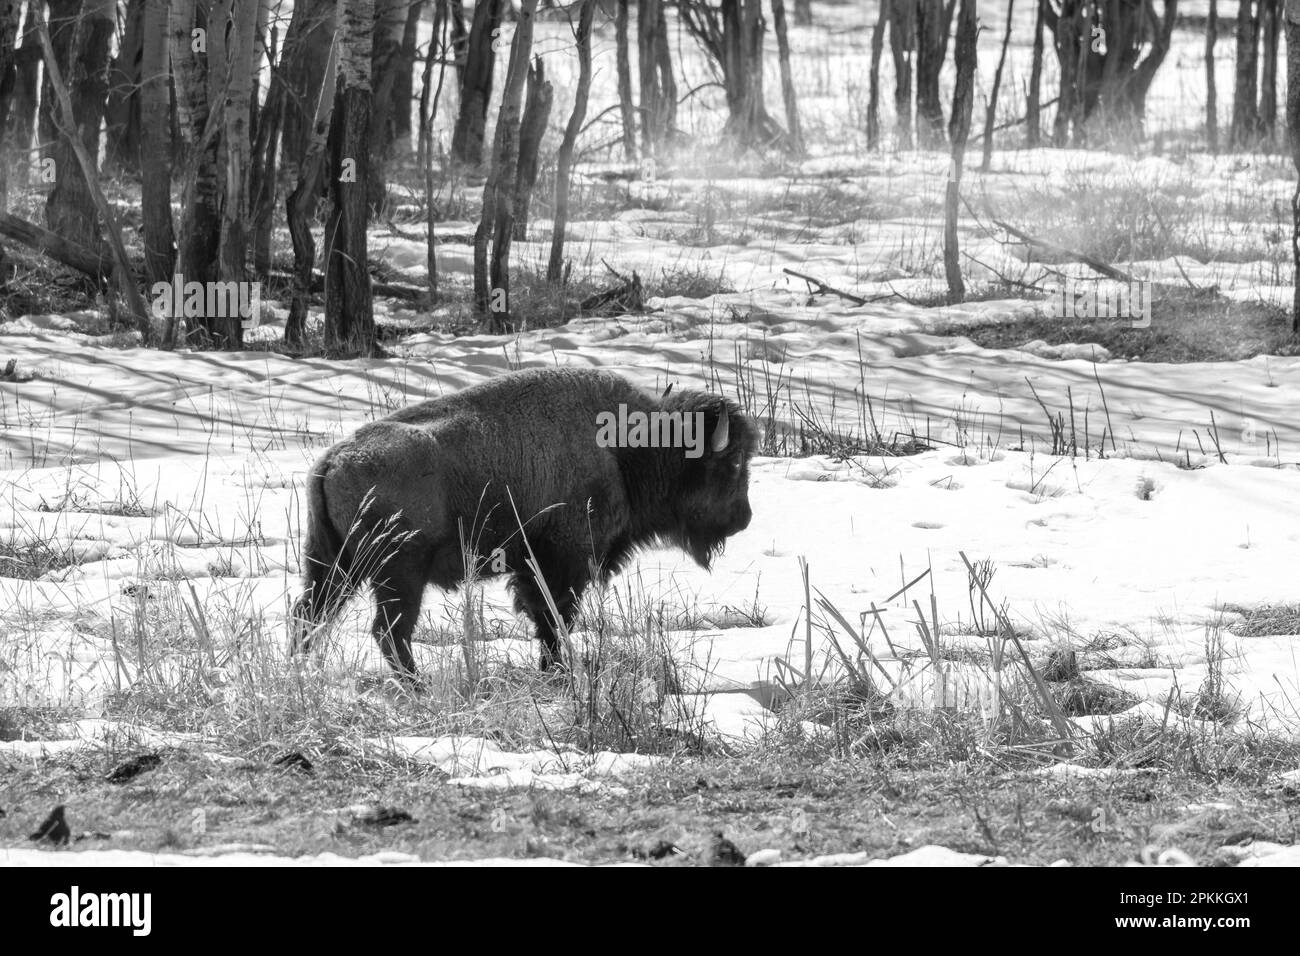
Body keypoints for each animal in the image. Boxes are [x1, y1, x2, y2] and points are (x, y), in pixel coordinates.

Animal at [290, 368, 758, 675]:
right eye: (733, 461)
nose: (745, 518)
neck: (626, 449)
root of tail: (332, 460)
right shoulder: (561, 562)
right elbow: (554, 619)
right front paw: (556, 670)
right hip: (399, 573)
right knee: (390, 630)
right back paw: (417, 685)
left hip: (334, 567)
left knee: (310, 616)